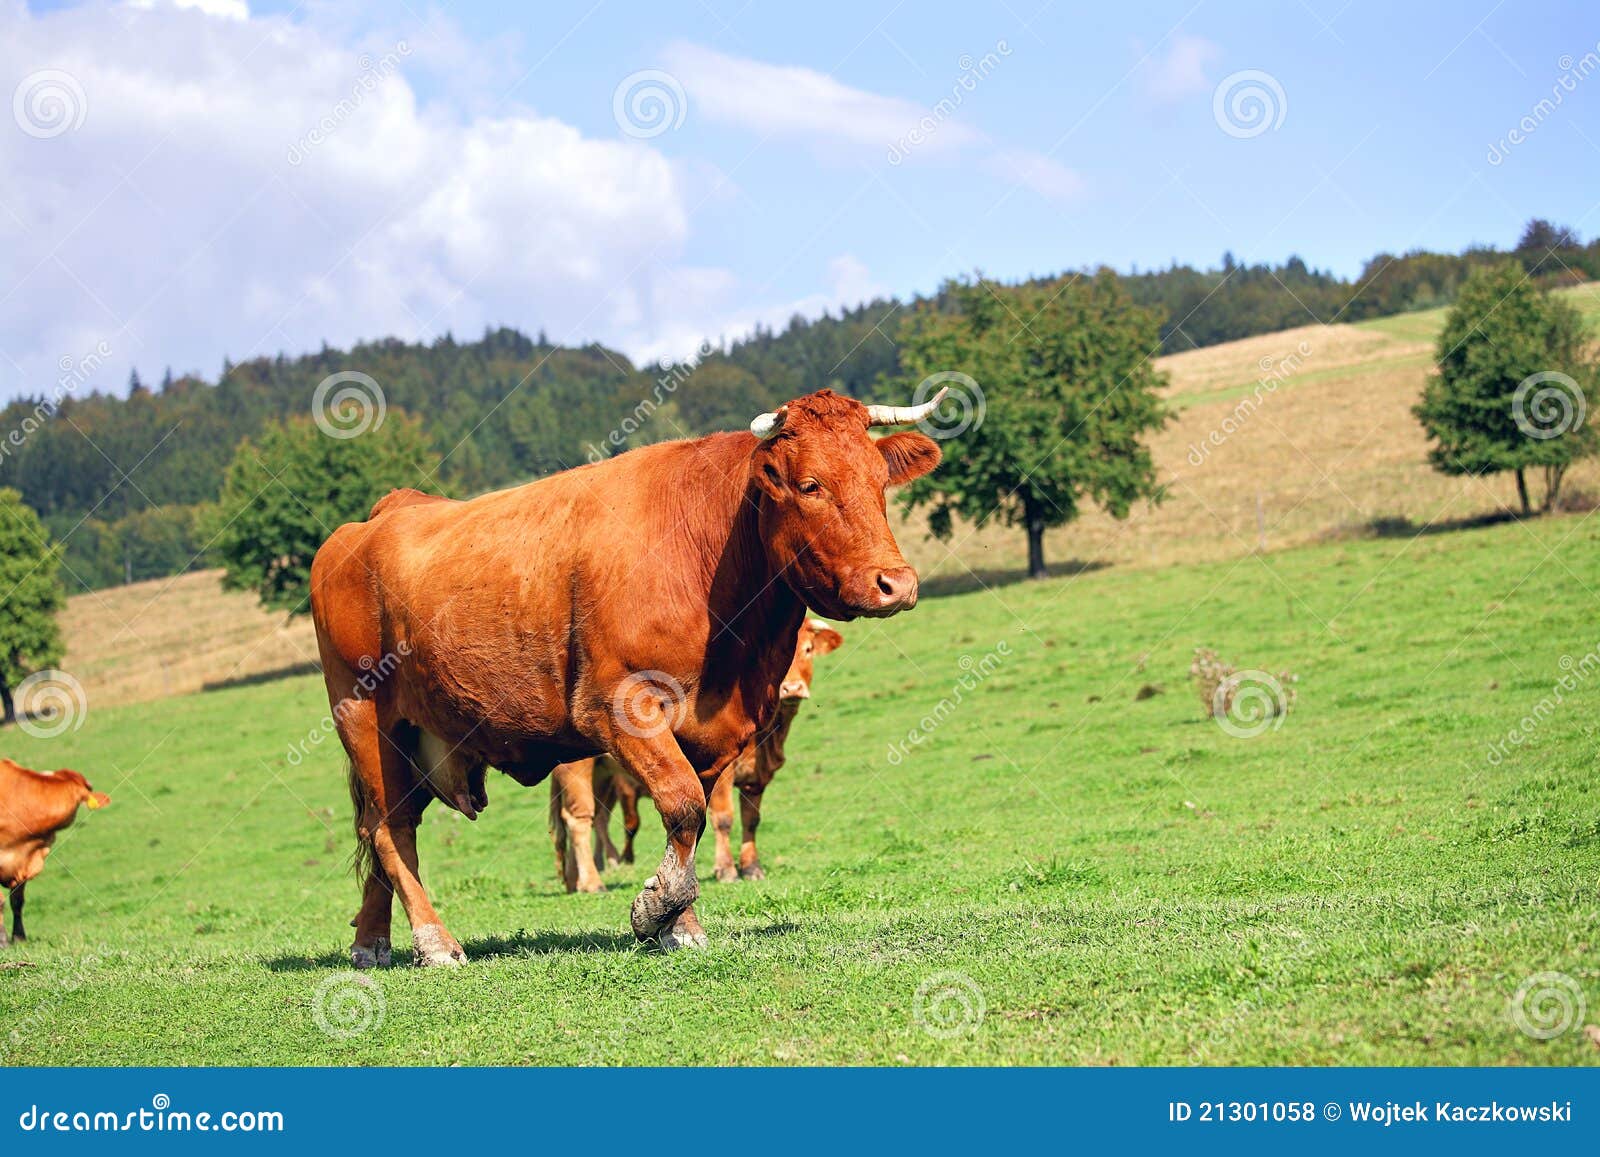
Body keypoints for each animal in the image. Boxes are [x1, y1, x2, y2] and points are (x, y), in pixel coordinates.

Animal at [549, 618, 843, 892]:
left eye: (807, 650)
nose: (792, 688)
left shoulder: (756, 778)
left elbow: (751, 820)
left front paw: (751, 867)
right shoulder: (721, 771)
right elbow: (724, 819)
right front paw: (726, 870)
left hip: (602, 773)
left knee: (590, 817)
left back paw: (575, 880)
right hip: (578, 769)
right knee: (579, 819)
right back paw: (592, 882)